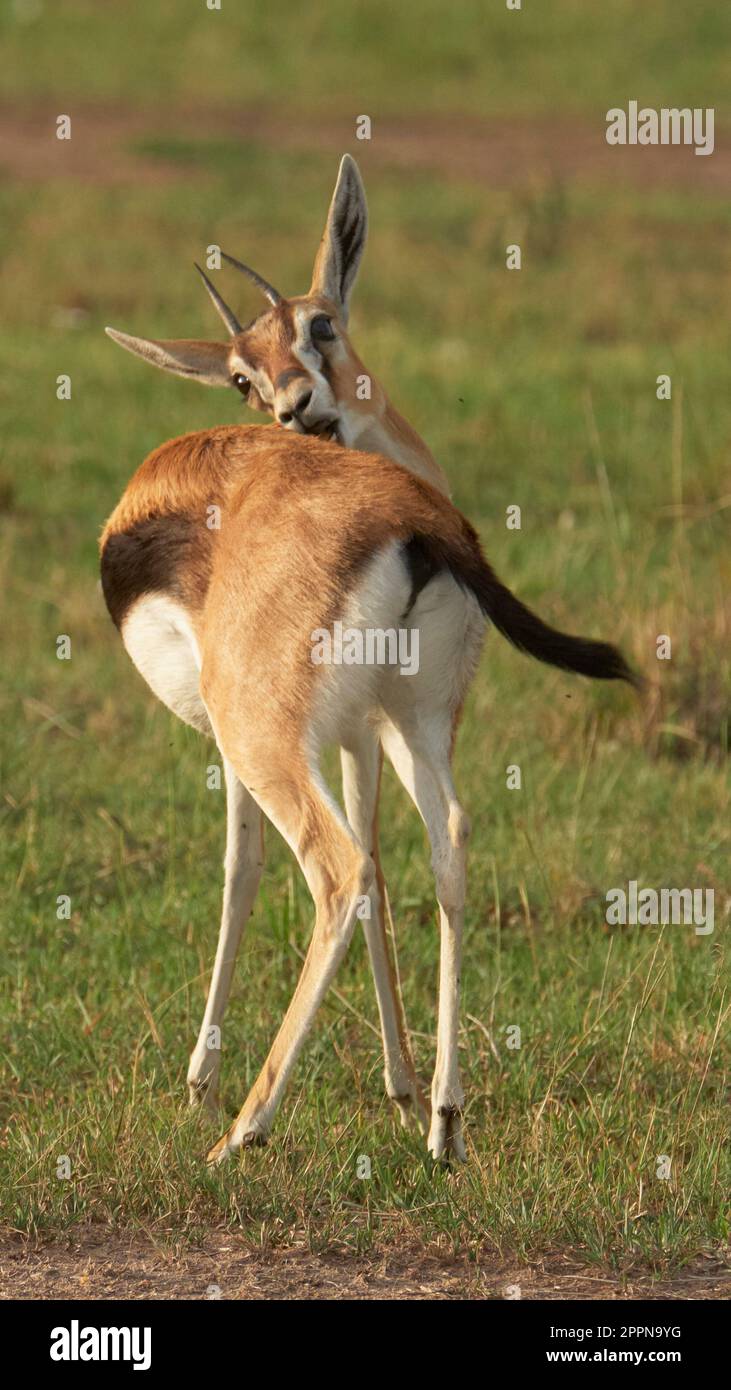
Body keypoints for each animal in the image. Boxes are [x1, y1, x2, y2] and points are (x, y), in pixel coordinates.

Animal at [101, 156, 639, 1164]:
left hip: (268, 733)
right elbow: (389, 868)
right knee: (445, 845)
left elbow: (241, 873)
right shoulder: (364, 730)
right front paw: (399, 1087)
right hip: (418, 720)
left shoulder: (245, 741)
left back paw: (242, 1132)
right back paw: (444, 1125)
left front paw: (197, 1084)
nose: (295, 407)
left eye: (321, 324)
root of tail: (414, 517)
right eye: (239, 376)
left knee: (335, 870)